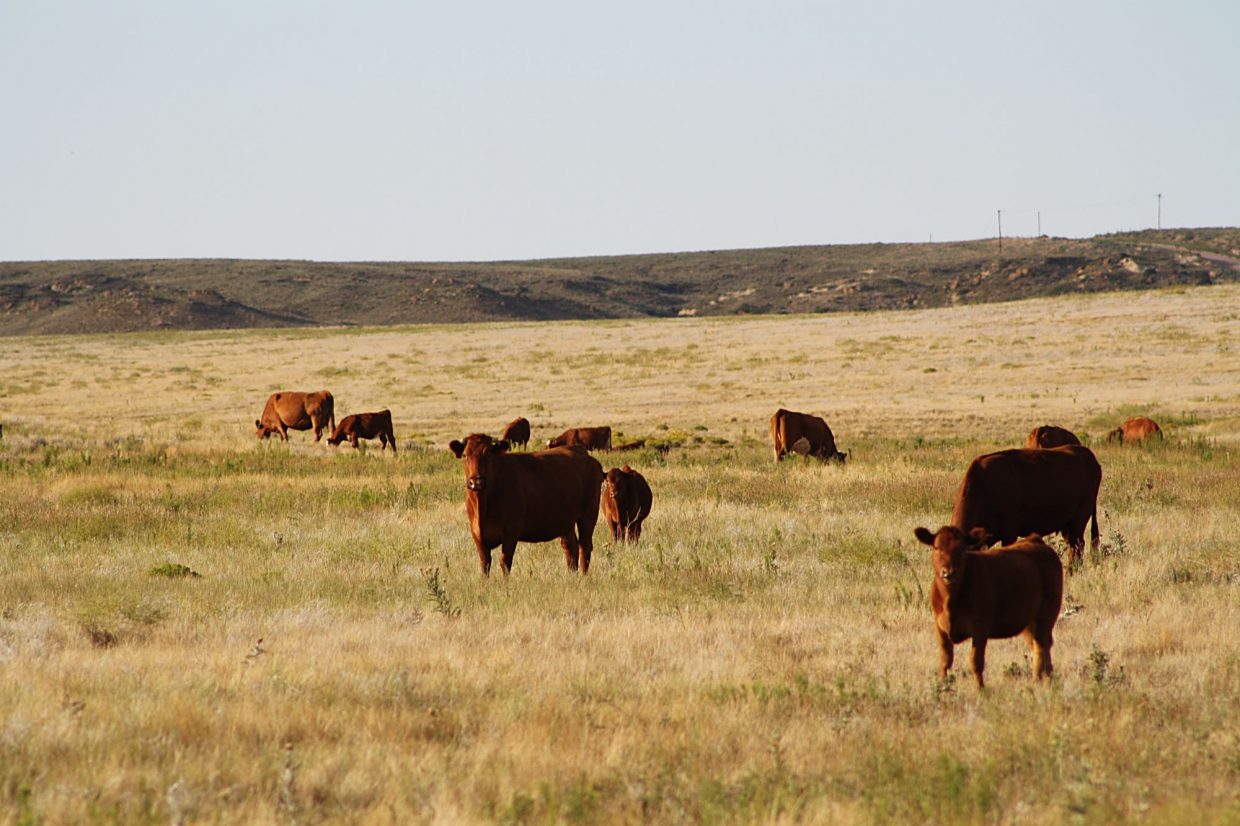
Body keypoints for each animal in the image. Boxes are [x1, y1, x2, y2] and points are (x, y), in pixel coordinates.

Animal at [448, 433, 603, 575]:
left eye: (489, 455)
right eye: (464, 455)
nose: (476, 482)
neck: (483, 506)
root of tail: (584, 455)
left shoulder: (511, 531)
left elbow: (505, 562)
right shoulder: (477, 534)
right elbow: (484, 564)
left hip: (588, 515)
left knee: (585, 546)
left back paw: (583, 576)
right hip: (565, 521)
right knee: (571, 548)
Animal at [914, 525, 1063, 689]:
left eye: (962, 549)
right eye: (936, 547)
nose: (948, 572)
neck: (950, 601)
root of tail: (1036, 540)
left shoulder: (980, 628)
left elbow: (975, 662)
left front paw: (980, 690)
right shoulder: (940, 628)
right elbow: (945, 661)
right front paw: (942, 686)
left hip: (1046, 614)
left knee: (1043, 646)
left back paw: (1042, 682)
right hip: (1028, 622)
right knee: (1038, 646)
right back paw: (1040, 681)